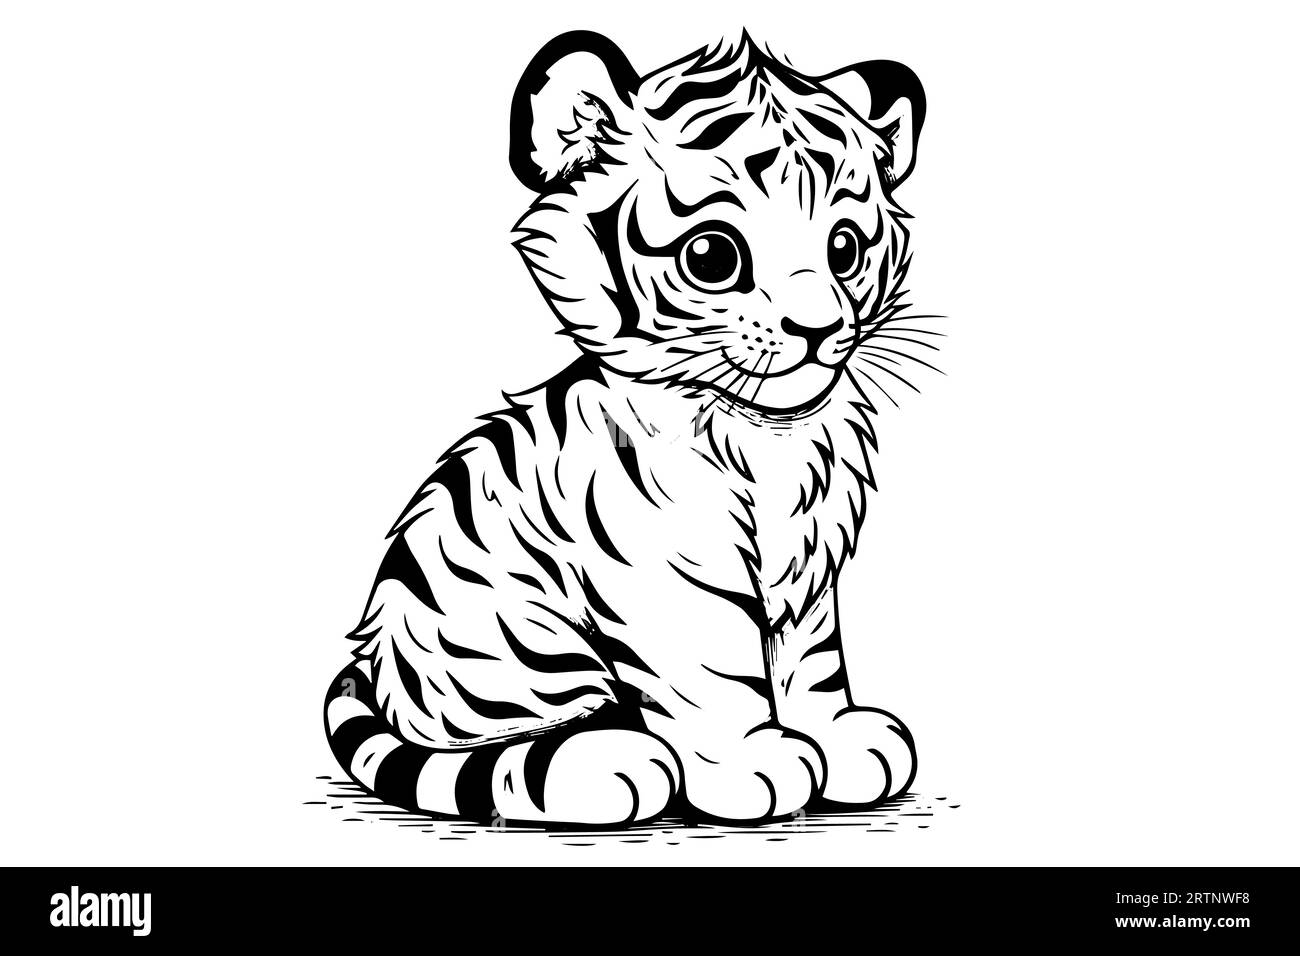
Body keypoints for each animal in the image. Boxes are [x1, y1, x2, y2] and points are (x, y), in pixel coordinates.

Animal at [324, 30, 936, 826]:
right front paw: (755, 765)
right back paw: (613, 761)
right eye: (713, 255)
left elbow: (811, 658)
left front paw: (840, 741)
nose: (819, 328)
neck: (764, 430)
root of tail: (374, 665)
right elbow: (715, 671)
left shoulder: (807, 567)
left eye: (844, 249)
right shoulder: (671, 572)